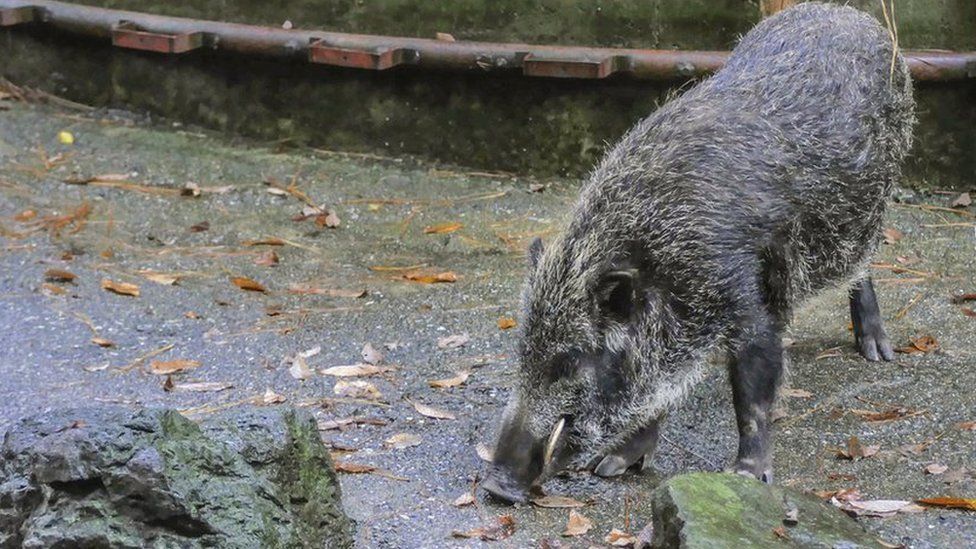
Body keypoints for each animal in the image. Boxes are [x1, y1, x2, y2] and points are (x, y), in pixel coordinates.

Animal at [482, 2, 914, 503]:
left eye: (572, 359)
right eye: (525, 350)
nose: (496, 485)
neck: (665, 253)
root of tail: (853, 16)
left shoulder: (747, 302)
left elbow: (752, 392)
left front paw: (746, 476)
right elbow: (659, 391)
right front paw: (610, 468)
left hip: (869, 209)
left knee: (862, 267)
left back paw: (878, 353)